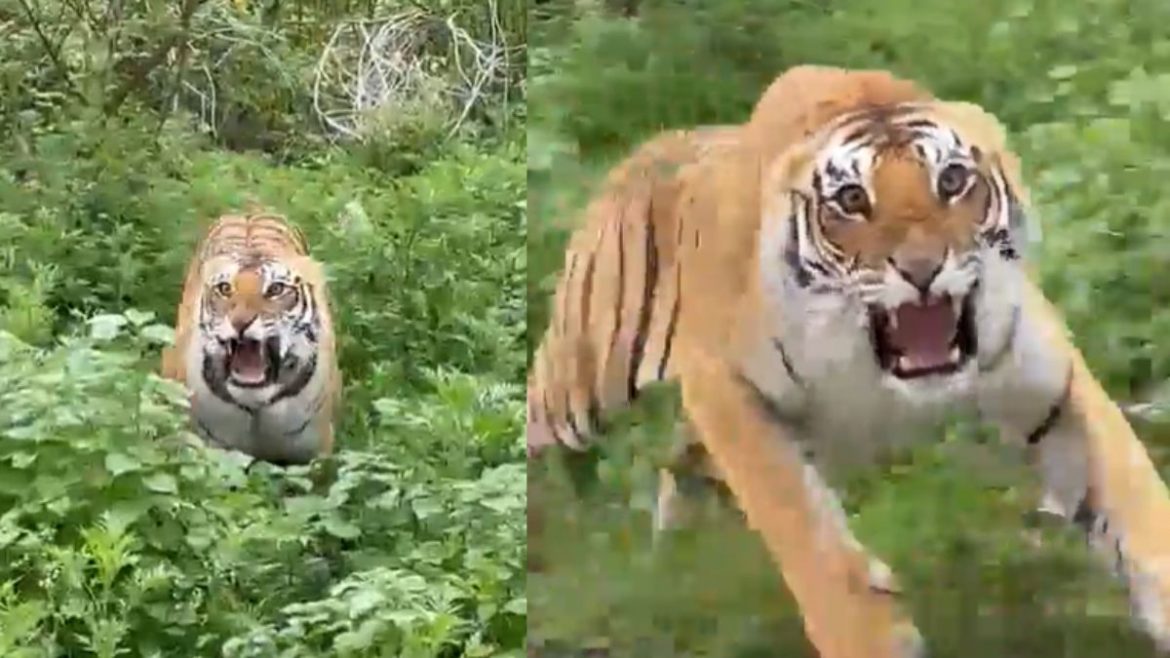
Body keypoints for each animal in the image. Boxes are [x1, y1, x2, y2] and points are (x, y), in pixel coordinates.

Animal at [527, 65, 1170, 657]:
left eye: (952, 180)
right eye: (852, 200)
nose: (921, 268)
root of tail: (654, 144)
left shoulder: (1049, 383)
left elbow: (1133, 499)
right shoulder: (723, 388)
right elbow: (809, 543)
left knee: (680, 464)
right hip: (578, 379)